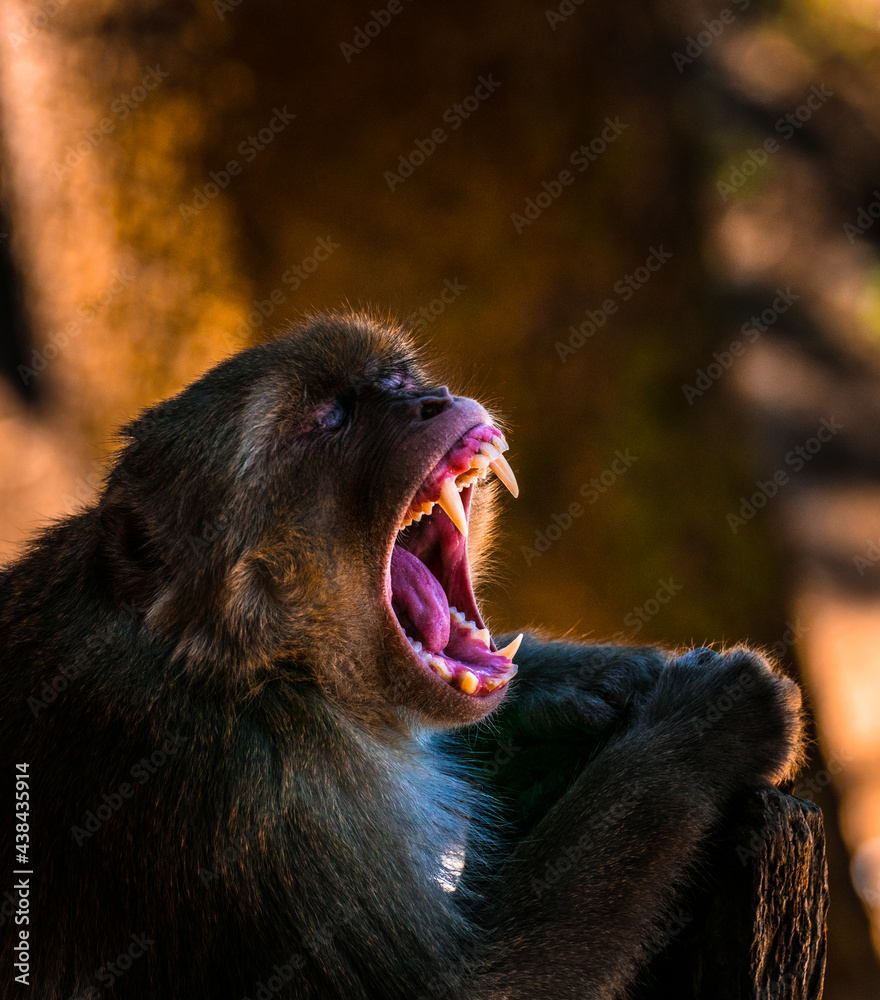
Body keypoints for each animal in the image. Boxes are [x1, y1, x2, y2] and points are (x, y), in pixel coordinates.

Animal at [0, 312, 803, 999]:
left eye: (394, 379)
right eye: (329, 419)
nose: (430, 400)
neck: (265, 669)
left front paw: (596, 685)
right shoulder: (257, 794)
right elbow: (471, 990)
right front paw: (704, 727)